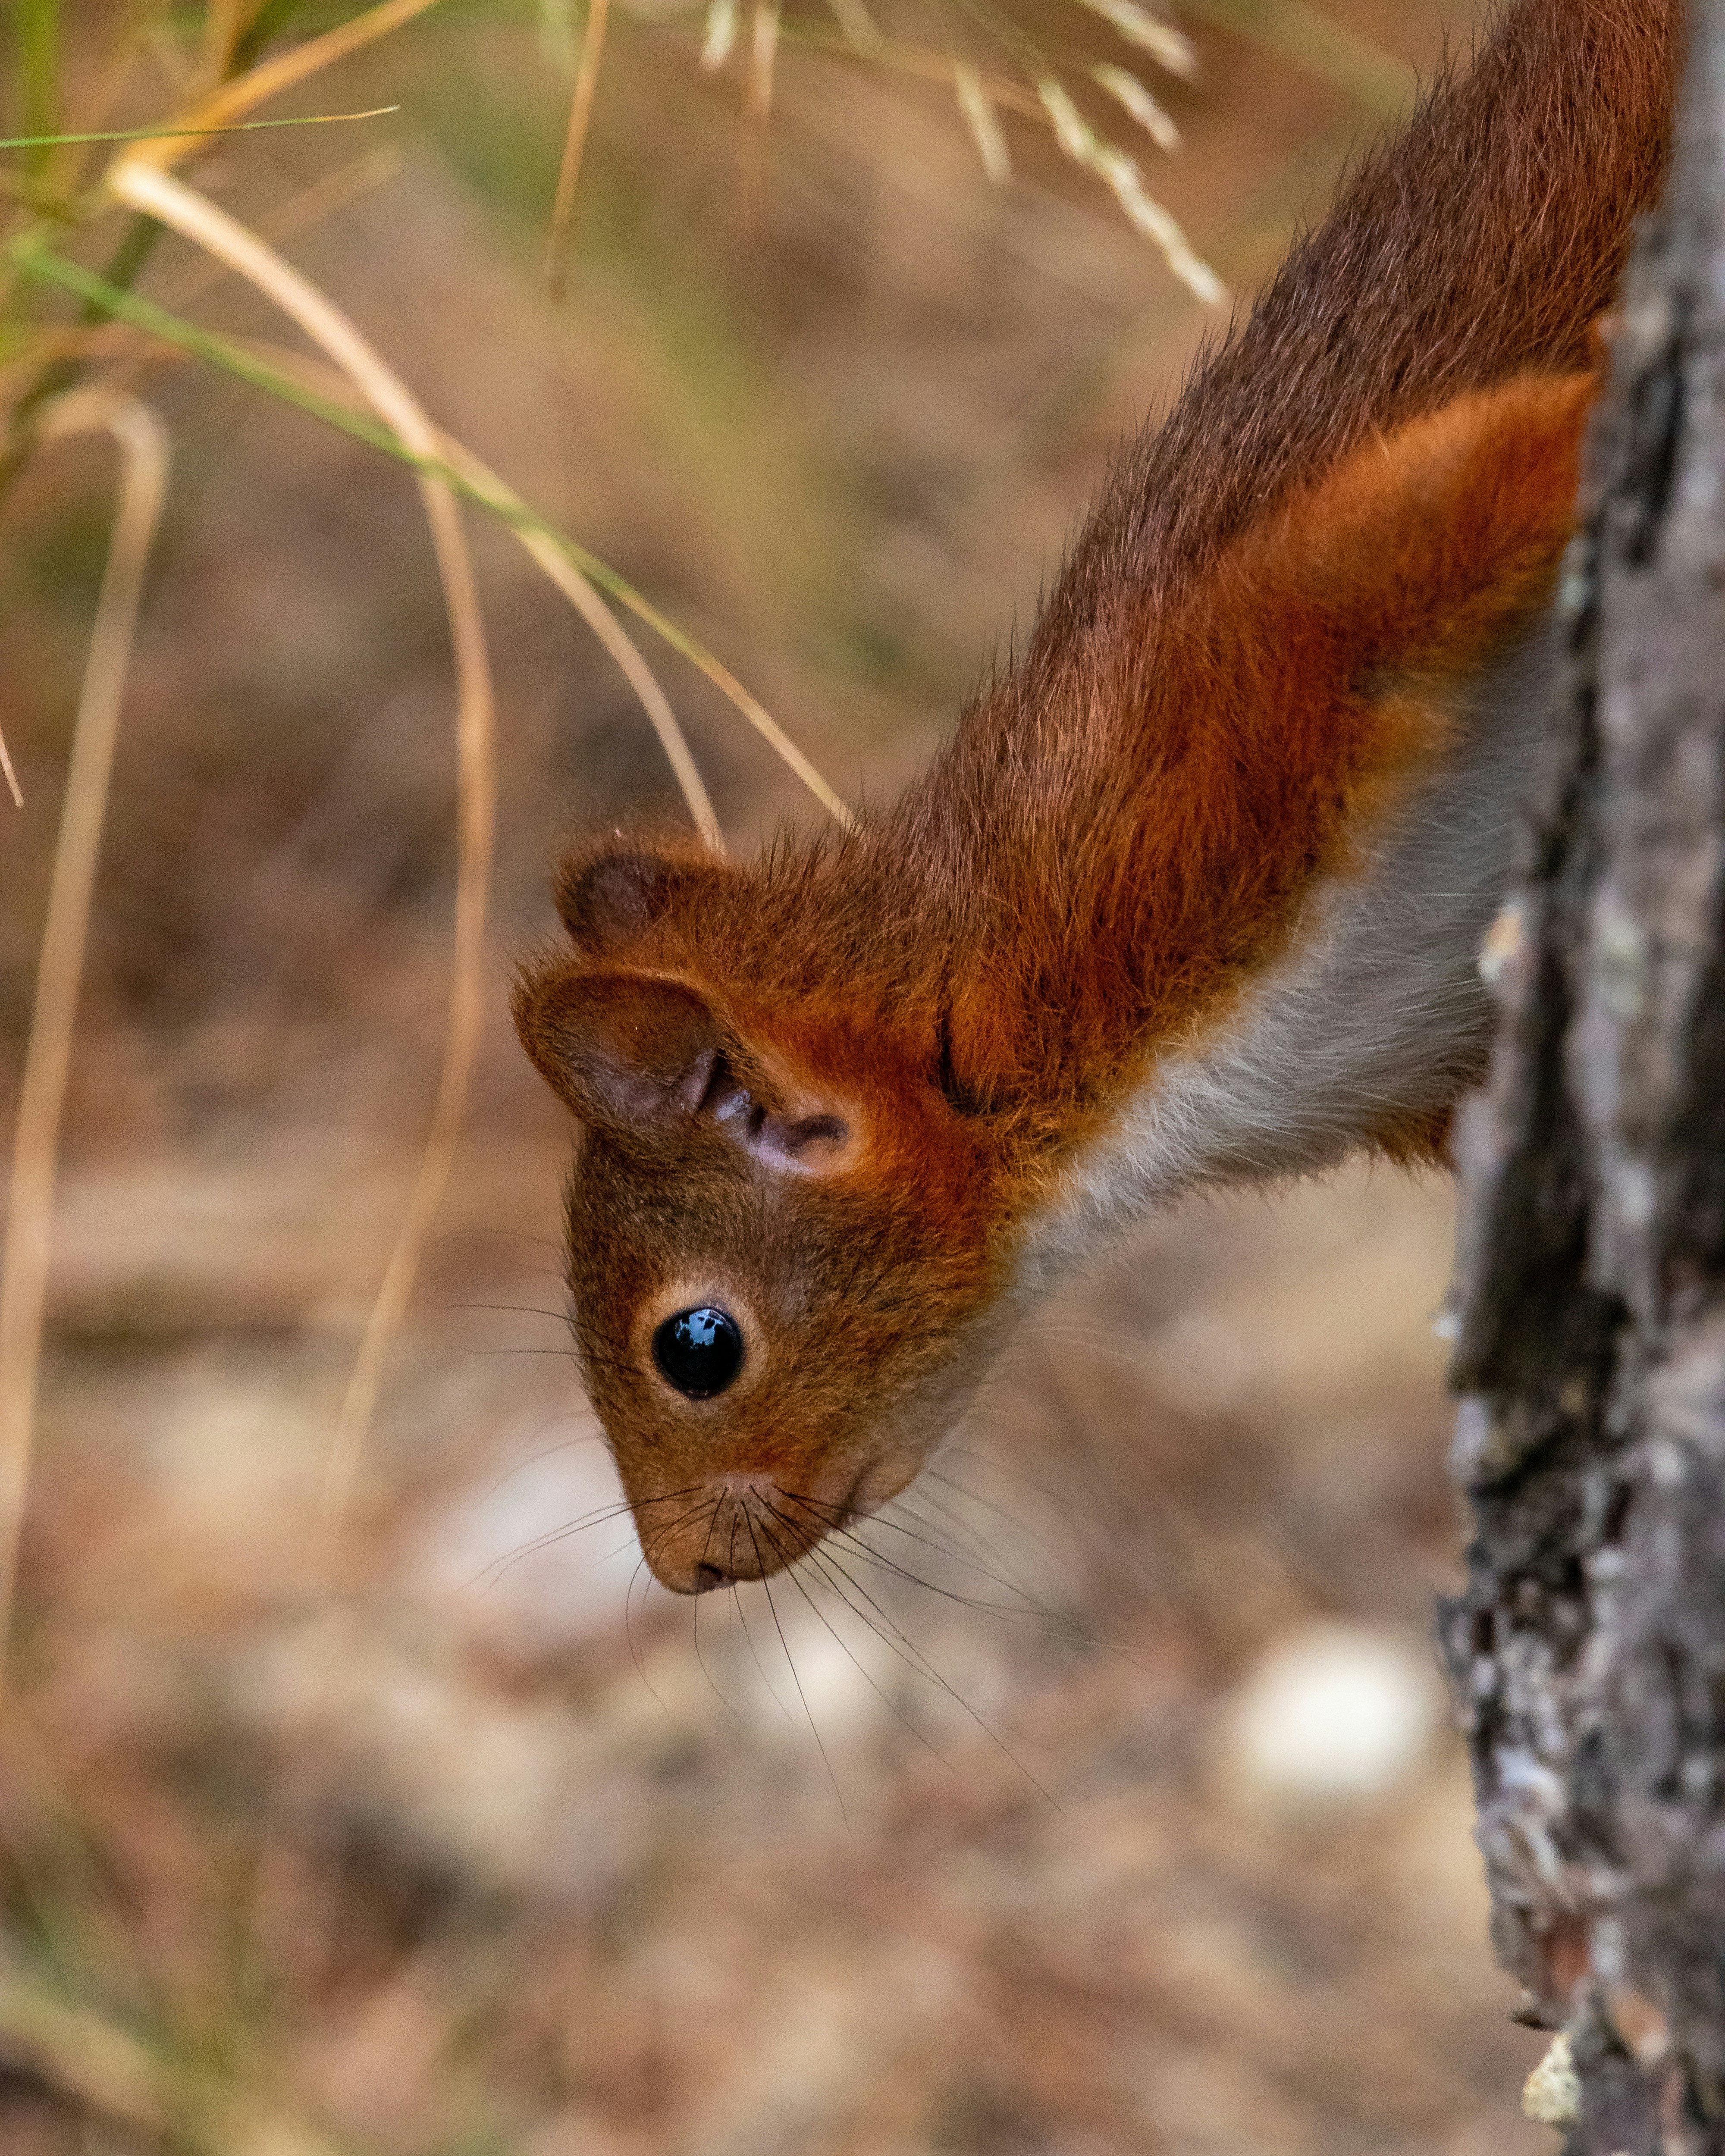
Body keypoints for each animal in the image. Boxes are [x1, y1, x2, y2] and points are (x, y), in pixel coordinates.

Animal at [514, 0, 1679, 1595]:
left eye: (696, 1346)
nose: (683, 1569)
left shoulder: (1228, 717)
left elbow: (1441, 503)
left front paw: (1611, 374)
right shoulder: (1413, 1054)